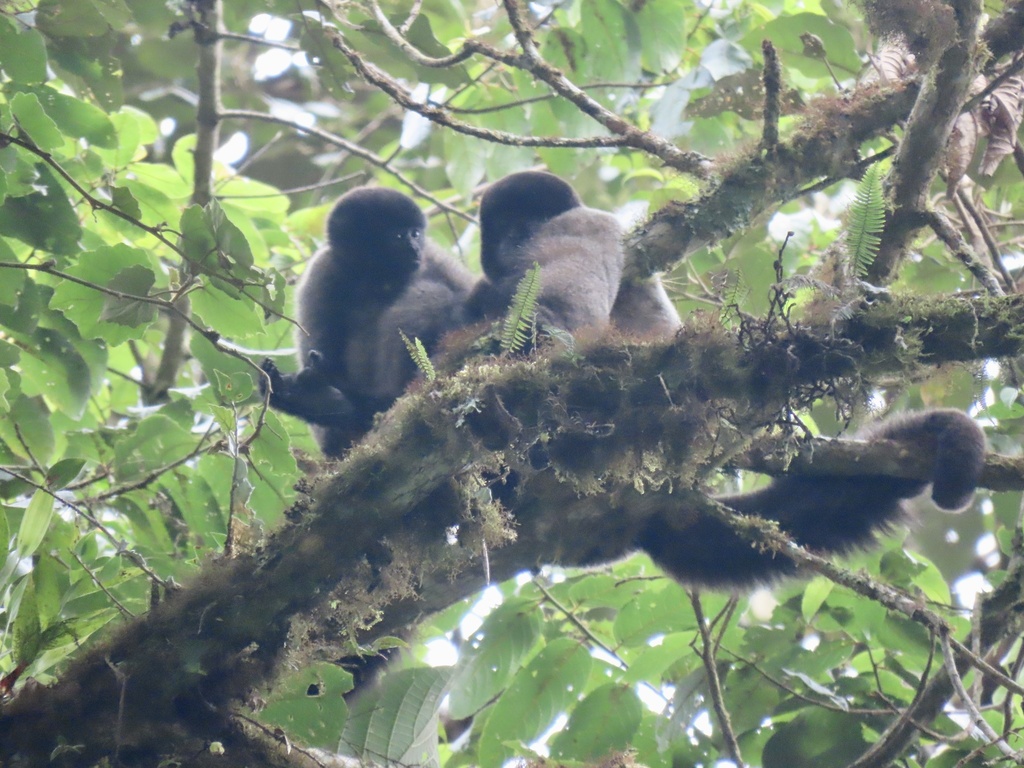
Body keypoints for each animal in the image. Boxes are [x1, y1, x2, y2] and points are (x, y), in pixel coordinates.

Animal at [260, 186, 475, 456]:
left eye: (415, 233)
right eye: (397, 235)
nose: (414, 249)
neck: (375, 278)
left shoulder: (434, 259)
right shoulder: (322, 272)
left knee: (431, 294)